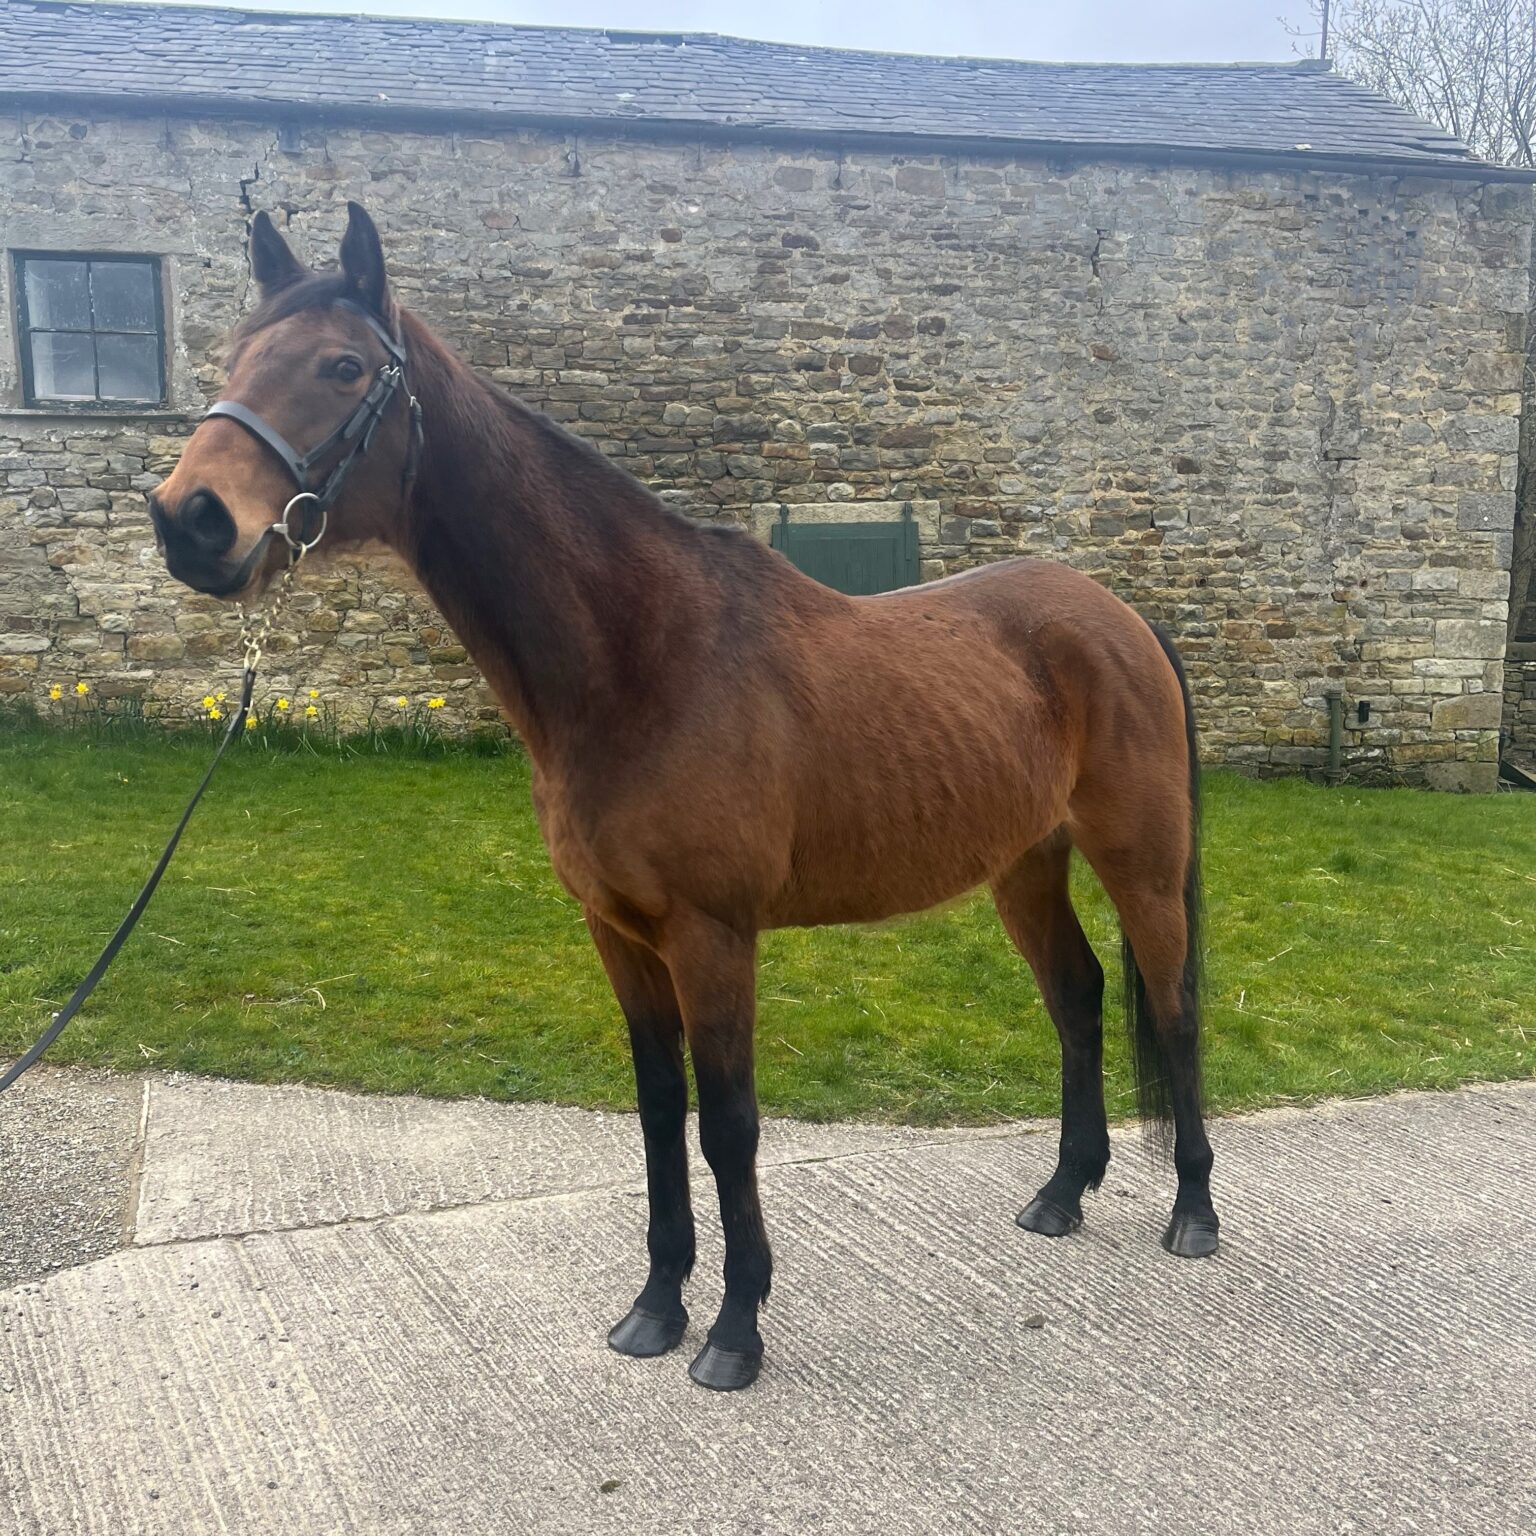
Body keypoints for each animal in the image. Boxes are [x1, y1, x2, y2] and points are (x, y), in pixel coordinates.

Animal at [149, 203, 1218, 1393]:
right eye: (235, 359)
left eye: (342, 366)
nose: (190, 521)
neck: (642, 661)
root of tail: (1116, 613)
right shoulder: (619, 933)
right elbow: (661, 1115)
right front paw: (656, 1308)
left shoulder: (714, 936)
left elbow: (730, 1125)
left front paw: (736, 1330)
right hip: (1025, 866)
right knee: (1077, 996)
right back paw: (1061, 1195)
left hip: (1139, 863)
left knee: (1171, 1004)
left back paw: (1192, 1213)